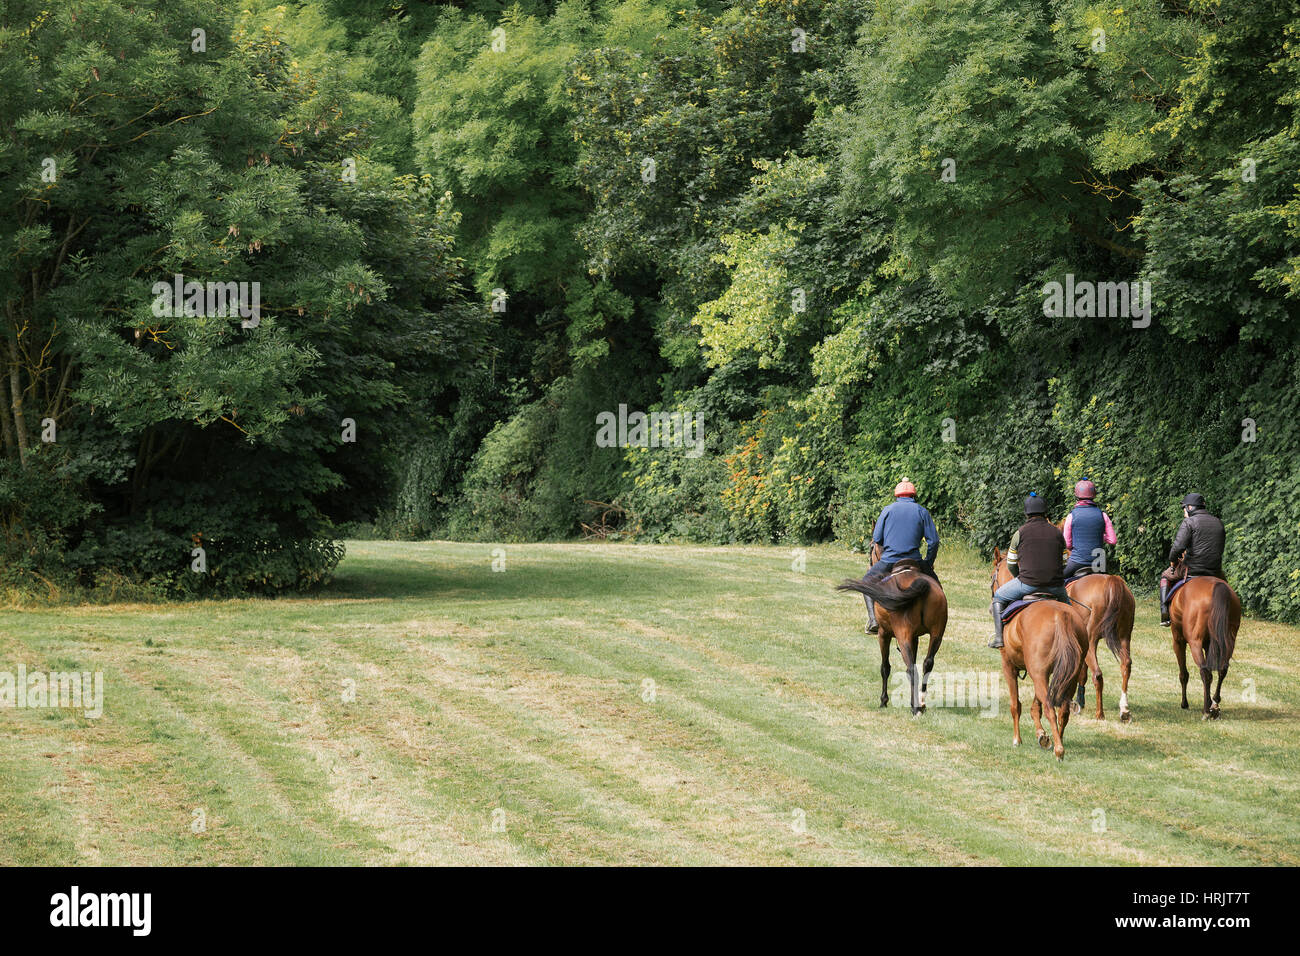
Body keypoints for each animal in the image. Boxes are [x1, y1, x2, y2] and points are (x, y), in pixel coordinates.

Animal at [836, 543, 948, 716]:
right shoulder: (915, 638)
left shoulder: (884, 634)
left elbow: (885, 667)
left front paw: (883, 701)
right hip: (937, 634)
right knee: (927, 663)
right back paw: (921, 702)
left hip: (902, 635)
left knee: (911, 669)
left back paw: (915, 708)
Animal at [990, 549, 1089, 759]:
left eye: (993, 575)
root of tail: (1060, 616)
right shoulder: (1042, 672)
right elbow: (1036, 706)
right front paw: (1042, 735)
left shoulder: (1008, 666)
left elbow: (1015, 705)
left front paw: (1017, 740)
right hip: (1068, 674)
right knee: (1063, 710)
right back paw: (1059, 740)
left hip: (1038, 673)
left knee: (1051, 708)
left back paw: (1059, 750)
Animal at [1166, 557, 1240, 719]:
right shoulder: (1209, 644)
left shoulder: (1178, 640)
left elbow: (1184, 673)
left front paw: (1184, 703)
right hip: (1229, 641)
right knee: (1222, 669)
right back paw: (1215, 705)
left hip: (1195, 642)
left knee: (1205, 671)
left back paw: (1207, 711)